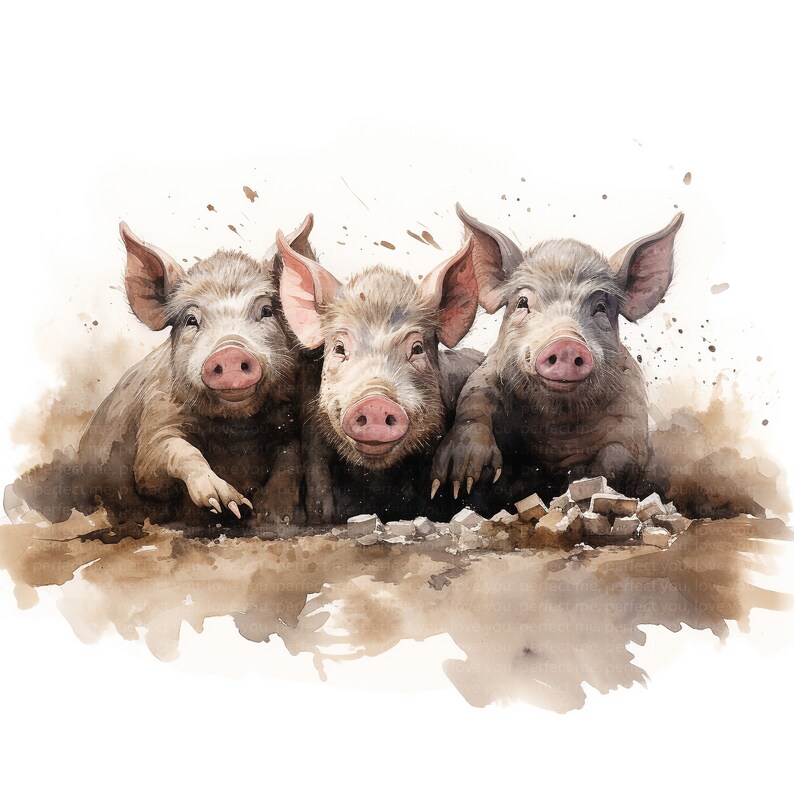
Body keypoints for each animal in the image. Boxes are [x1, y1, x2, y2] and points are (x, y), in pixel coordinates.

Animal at [6, 217, 317, 528]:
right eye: (191, 320)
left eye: (266, 311)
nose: (230, 352)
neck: (236, 429)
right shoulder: (157, 414)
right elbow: (166, 454)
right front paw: (225, 504)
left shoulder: (287, 420)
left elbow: (290, 459)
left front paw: (274, 517)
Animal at [431, 204, 684, 509]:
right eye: (523, 302)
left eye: (601, 308)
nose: (566, 343)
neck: (557, 426)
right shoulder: (486, 375)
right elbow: (474, 402)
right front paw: (460, 481)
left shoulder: (632, 414)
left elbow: (618, 457)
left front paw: (580, 483)